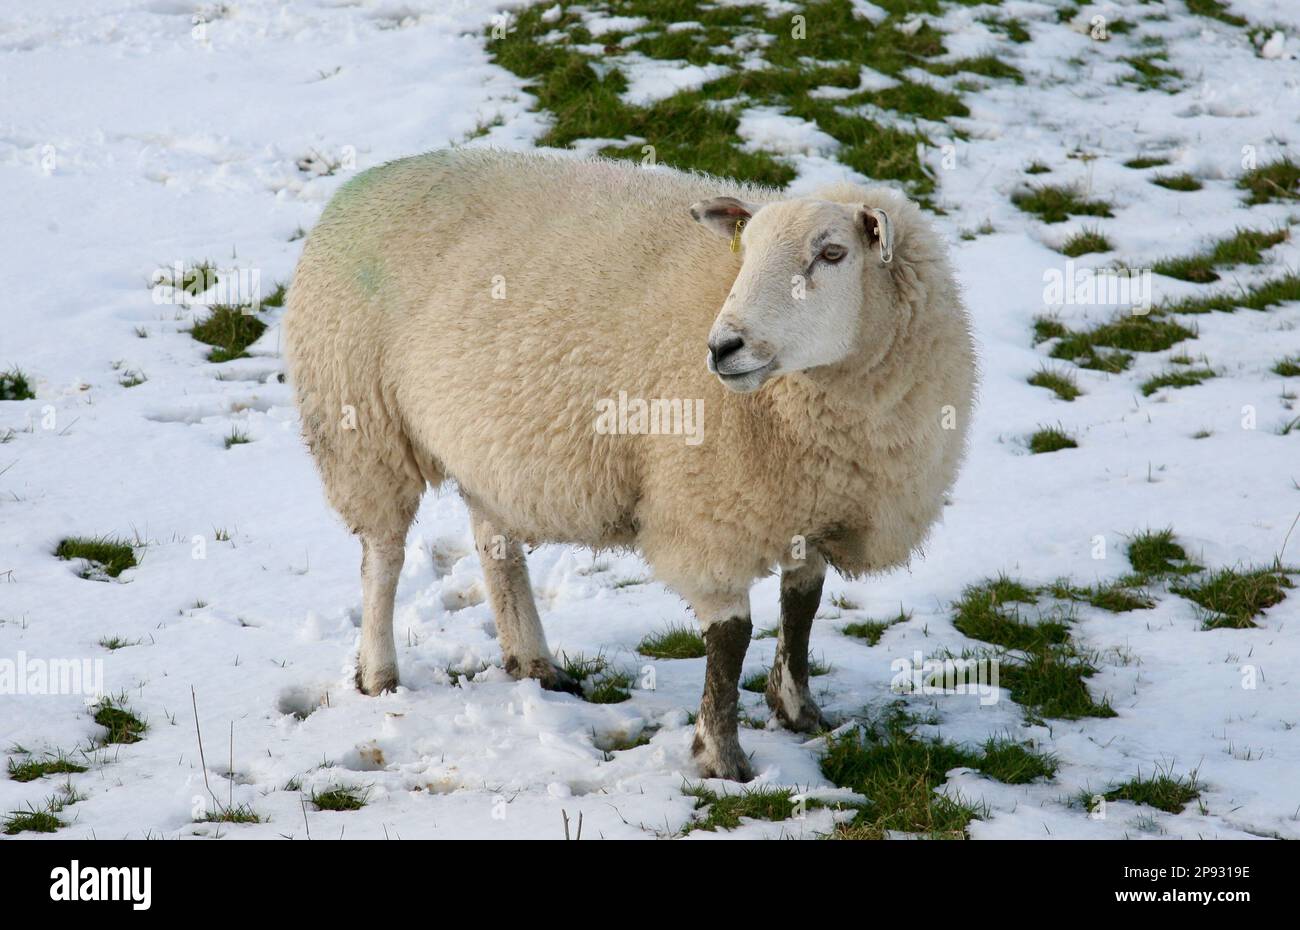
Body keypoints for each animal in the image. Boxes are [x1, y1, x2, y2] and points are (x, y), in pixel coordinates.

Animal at [283, 148, 976, 781]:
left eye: (832, 254)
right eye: (745, 254)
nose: (723, 347)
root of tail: (366, 180)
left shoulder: (809, 503)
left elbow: (801, 607)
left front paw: (798, 711)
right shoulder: (709, 511)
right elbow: (731, 639)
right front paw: (721, 758)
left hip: (489, 441)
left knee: (494, 544)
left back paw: (534, 663)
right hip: (360, 421)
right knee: (383, 556)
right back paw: (379, 674)